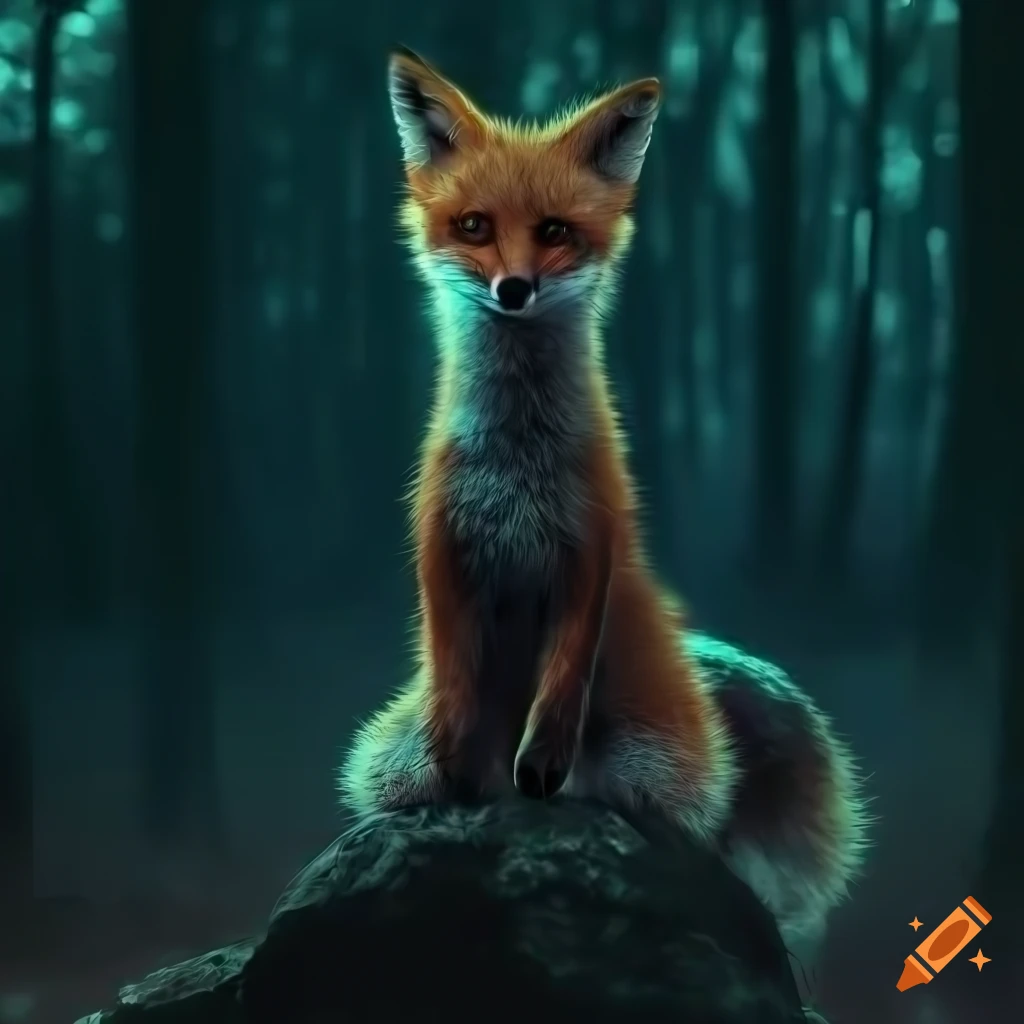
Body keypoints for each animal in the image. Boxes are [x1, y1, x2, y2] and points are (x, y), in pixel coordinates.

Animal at [338, 47, 868, 944]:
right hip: (388, 761)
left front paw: (537, 770)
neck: (519, 465)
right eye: (474, 227)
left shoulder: (589, 546)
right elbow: (452, 678)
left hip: (649, 765)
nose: (513, 289)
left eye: (555, 231)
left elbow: (562, 682)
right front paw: (463, 776)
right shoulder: (445, 549)